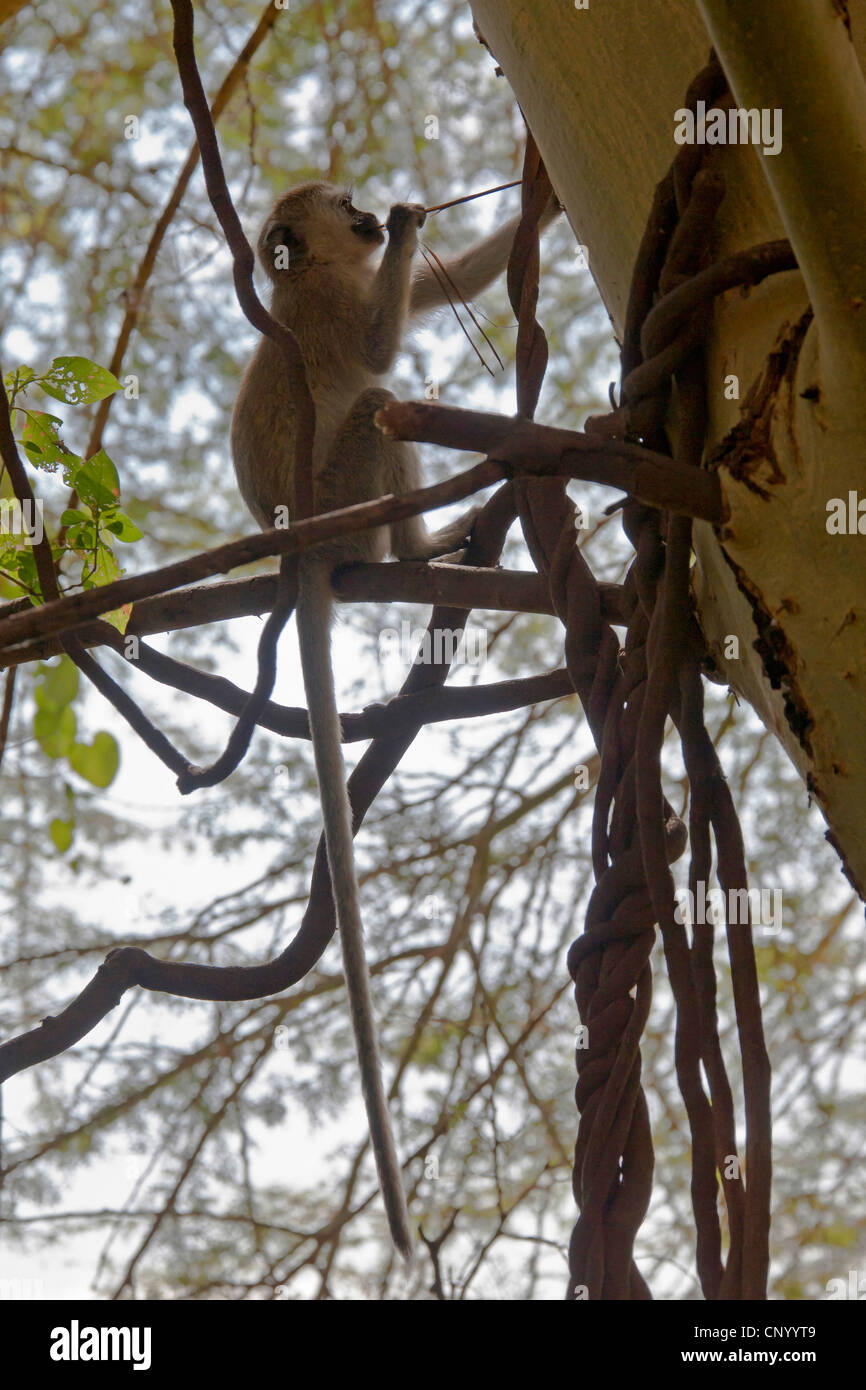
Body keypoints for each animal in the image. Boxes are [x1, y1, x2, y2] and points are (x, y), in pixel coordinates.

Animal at [231, 181, 559, 1262]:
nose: (374, 215)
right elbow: (377, 351)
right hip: (346, 500)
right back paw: (428, 543)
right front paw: (415, 228)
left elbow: (445, 289)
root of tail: (301, 552)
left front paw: (537, 190)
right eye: (341, 207)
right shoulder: (331, 307)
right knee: (381, 406)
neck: (317, 273)